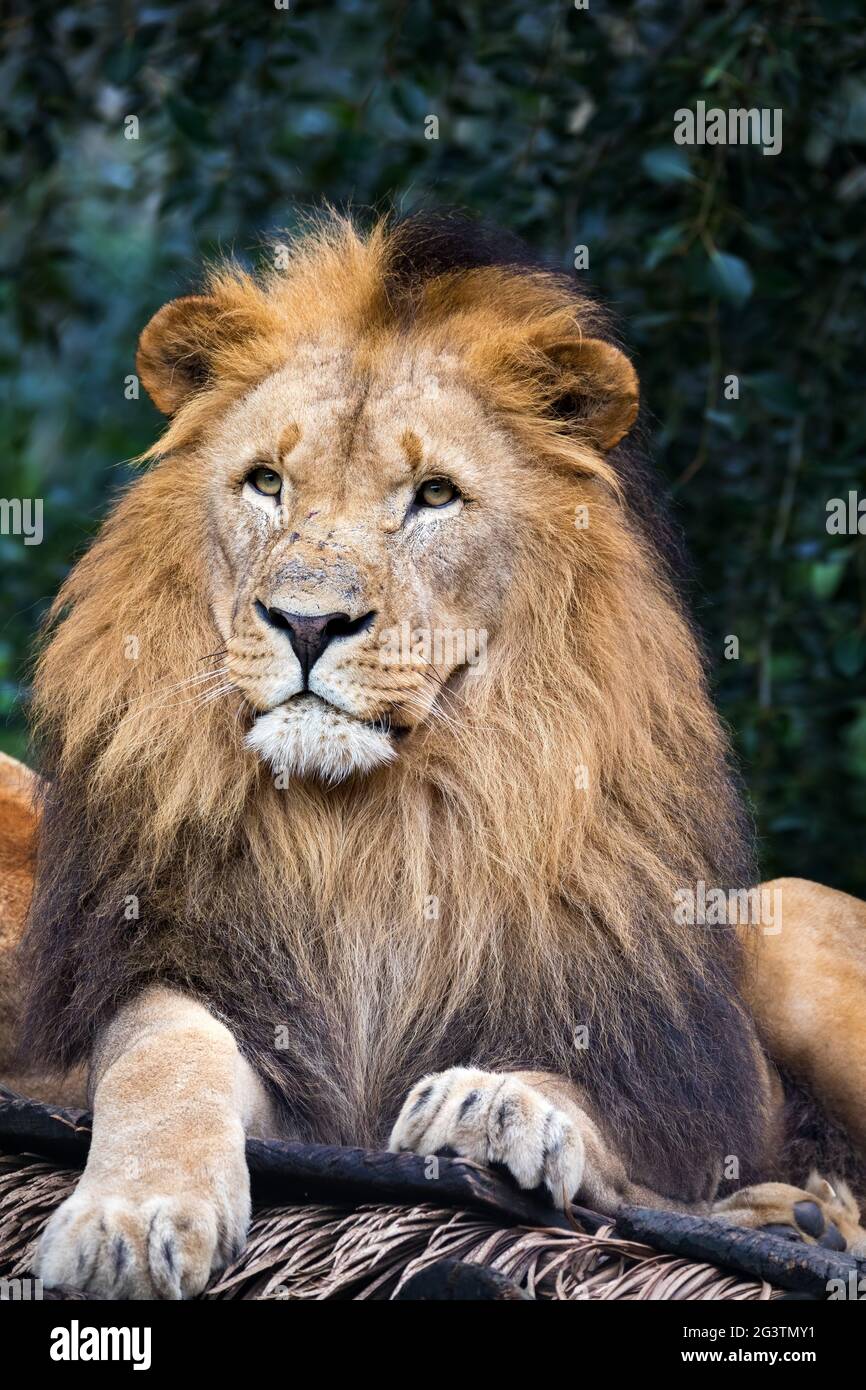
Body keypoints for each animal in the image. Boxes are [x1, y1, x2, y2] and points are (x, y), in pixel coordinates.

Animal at [2, 211, 866, 1298]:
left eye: (434, 496)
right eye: (266, 482)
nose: (306, 621)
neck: (372, 826)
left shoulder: (638, 1053)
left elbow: (587, 1099)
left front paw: (494, 1104)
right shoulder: (209, 994)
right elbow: (163, 1051)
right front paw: (129, 1216)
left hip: (790, 921)